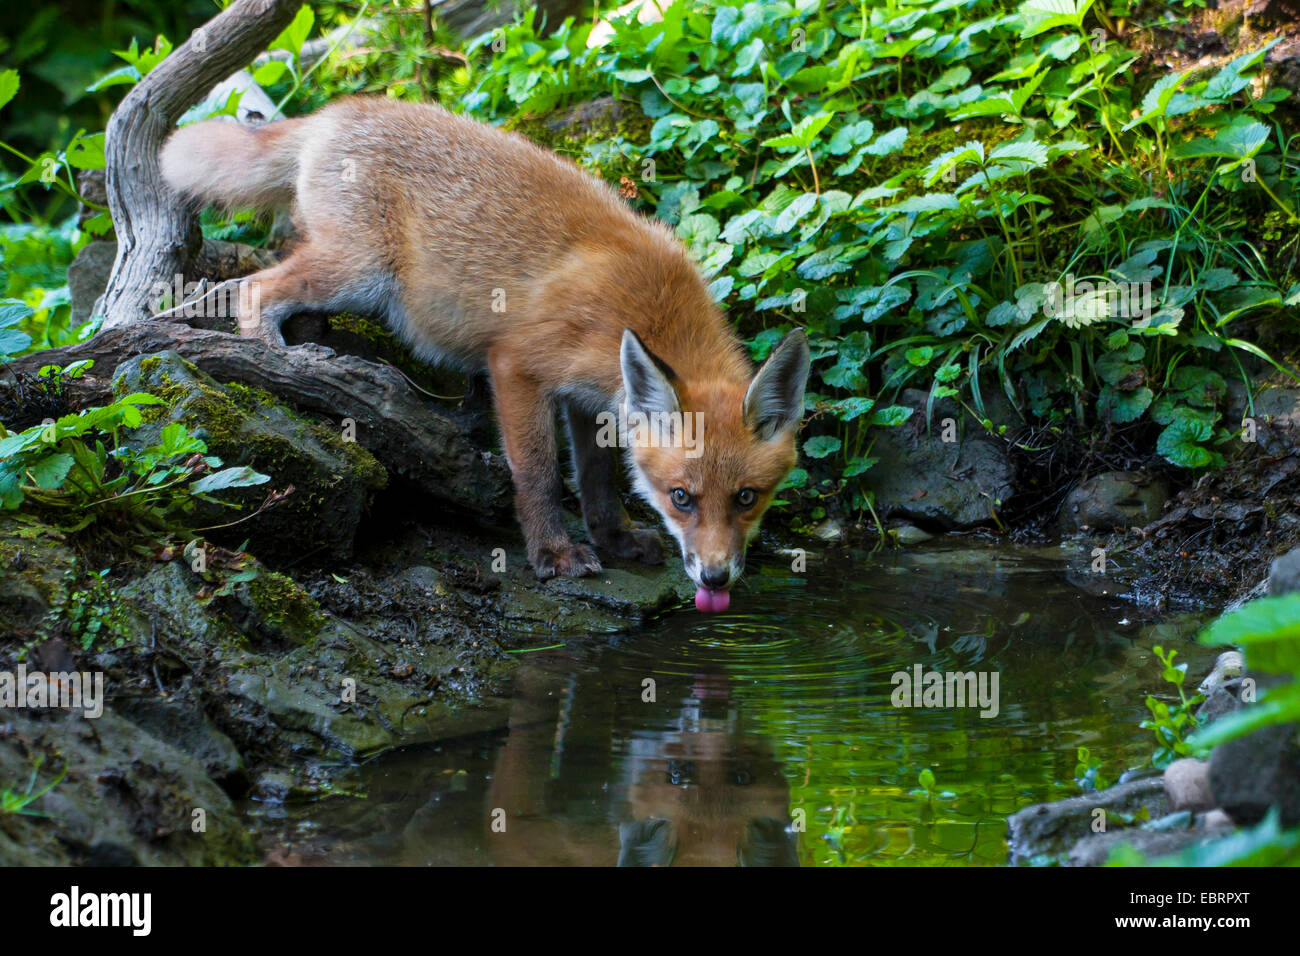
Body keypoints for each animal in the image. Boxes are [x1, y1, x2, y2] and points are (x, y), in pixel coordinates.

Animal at [159, 96, 810, 611]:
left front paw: (616, 543)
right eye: (681, 498)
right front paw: (553, 555)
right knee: (254, 289)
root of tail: (338, 110)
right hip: (361, 273)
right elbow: (540, 475)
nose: (716, 579)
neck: (648, 308)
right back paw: (274, 359)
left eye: (747, 498)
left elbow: (597, 482)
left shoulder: (593, 398)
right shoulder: (518, 366)